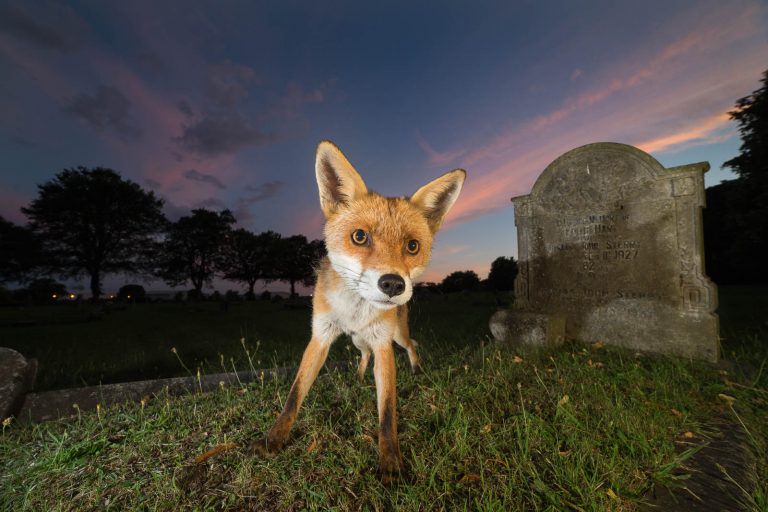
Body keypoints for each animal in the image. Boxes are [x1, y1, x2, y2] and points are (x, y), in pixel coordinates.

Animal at [258, 140, 466, 481]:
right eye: (359, 237)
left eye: (412, 246)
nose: (393, 284)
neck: (354, 311)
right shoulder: (321, 336)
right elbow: (294, 395)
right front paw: (274, 438)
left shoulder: (383, 344)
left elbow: (387, 412)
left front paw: (391, 463)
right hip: (356, 339)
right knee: (363, 354)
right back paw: (357, 376)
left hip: (396, 335)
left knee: (411, 345)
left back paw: (417, 369)